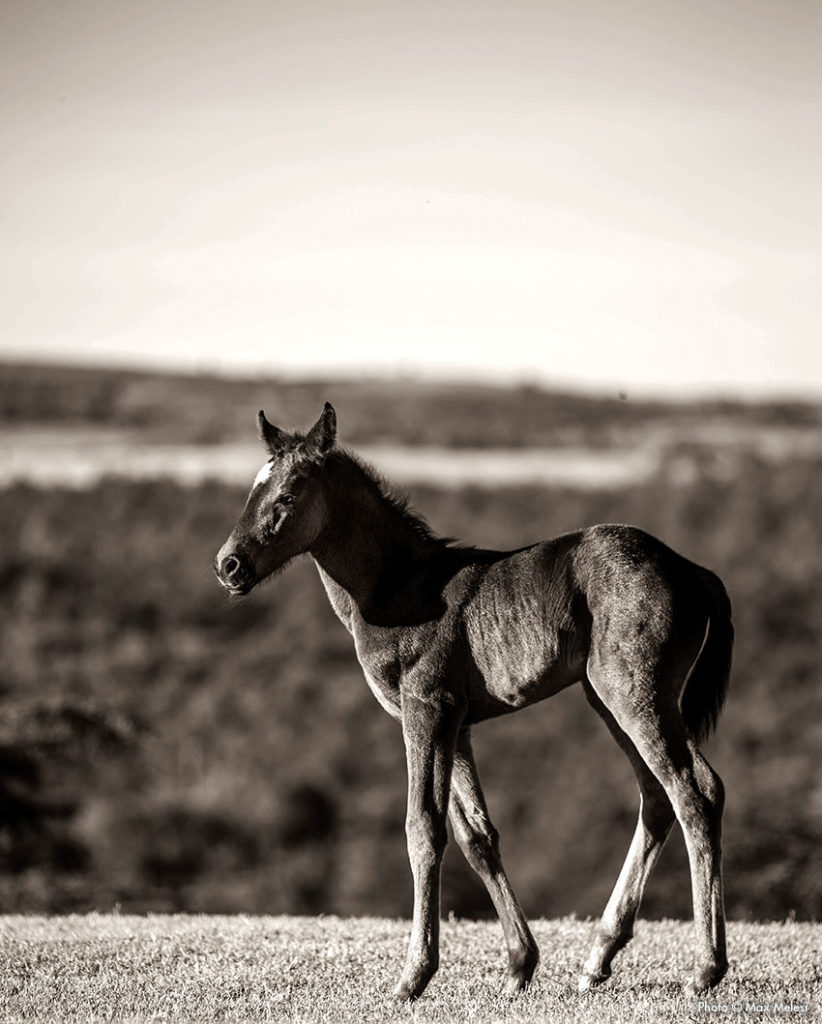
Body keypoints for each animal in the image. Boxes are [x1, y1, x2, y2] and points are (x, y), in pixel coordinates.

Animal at [214, 403, 732, 1002]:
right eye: (252, 488)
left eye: (288, 494)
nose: (229, 566)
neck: (400, 588)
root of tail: (692, 570)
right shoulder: (457, 723)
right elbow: (476, 835)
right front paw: (519, 965)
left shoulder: (425, 710)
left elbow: (423, 828)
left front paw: (413, 976)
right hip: (610, 700)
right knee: (659, 797)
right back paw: (599, 958)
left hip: (635, 694)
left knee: (693, 792)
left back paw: (705, 969)